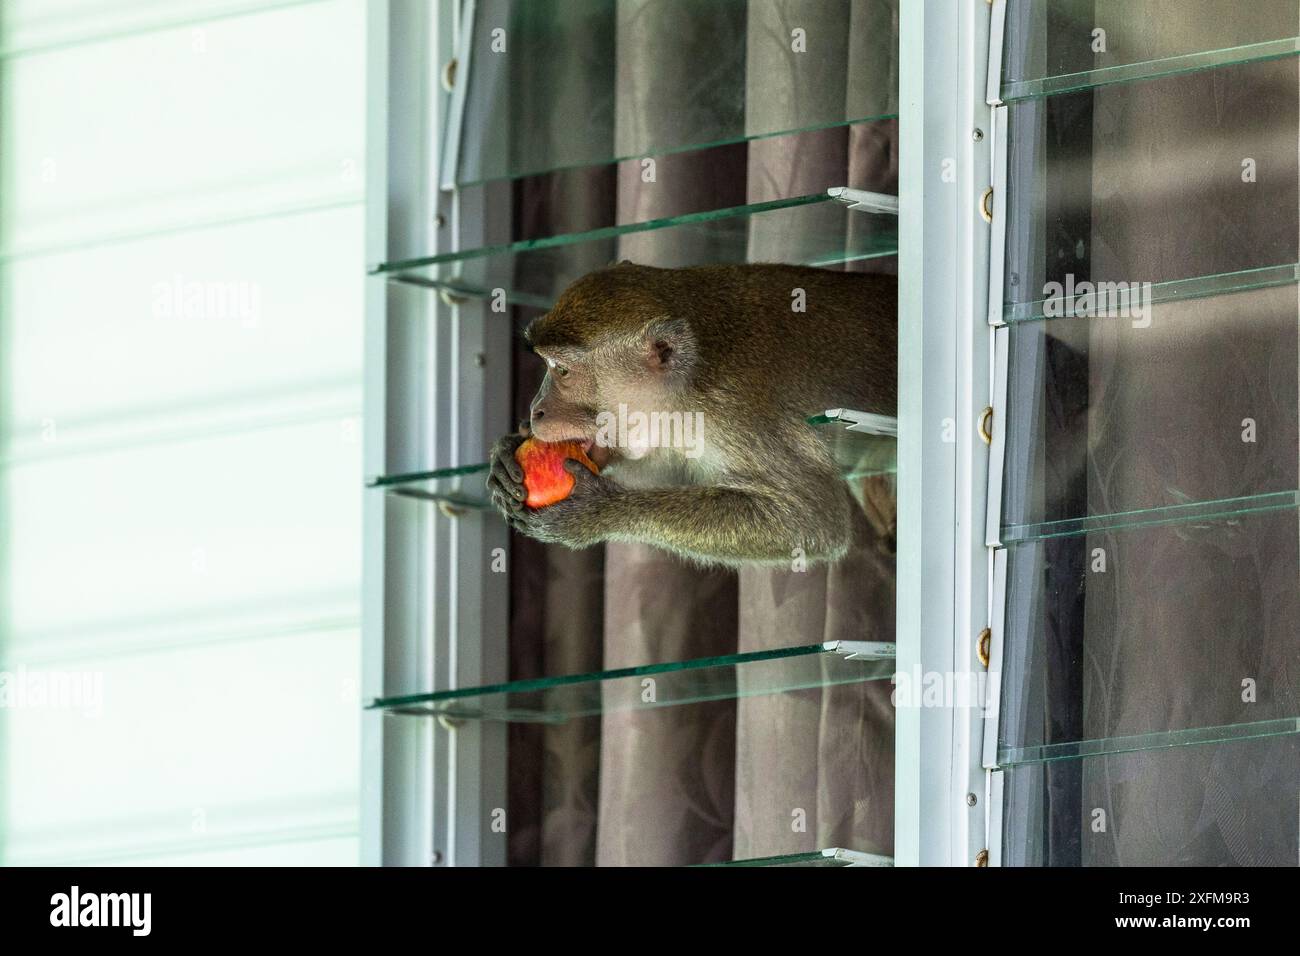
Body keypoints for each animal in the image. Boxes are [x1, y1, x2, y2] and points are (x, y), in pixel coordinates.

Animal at [487, 261, 896, 567]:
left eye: (562, 370)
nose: (535, 410)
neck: (688, 384)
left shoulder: (738, 417)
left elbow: (811, 519)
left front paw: (600, 510)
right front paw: (505, 455)